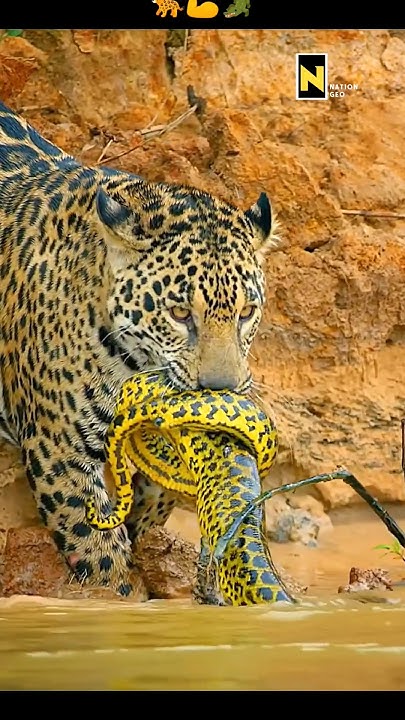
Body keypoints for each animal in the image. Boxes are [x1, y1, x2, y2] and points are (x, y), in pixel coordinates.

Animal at [0, 100, 278, 596]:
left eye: (246, 312)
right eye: (180, 313)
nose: (221, 390)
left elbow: (151, 506)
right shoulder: (58, 452)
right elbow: (98, 553)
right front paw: (118, 595)